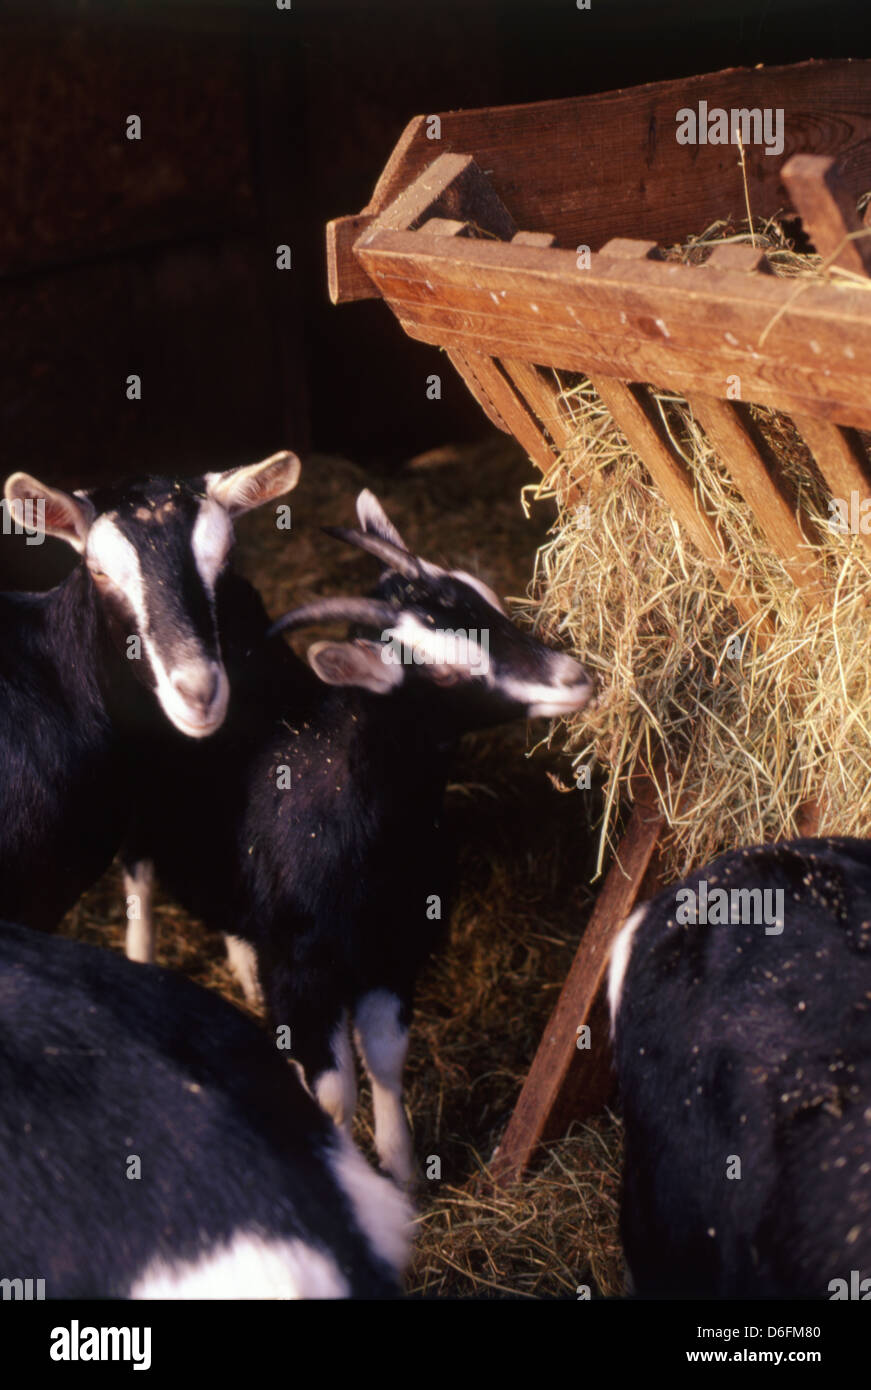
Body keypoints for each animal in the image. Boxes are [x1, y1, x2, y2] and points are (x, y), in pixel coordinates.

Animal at [123, 489, 592, 1184]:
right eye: (444, 675)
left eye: (488, 601)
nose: (573, 678)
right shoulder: (302, 975)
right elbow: (331, 1094)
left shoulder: (394, 949)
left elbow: (387, 1059)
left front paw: (401, 1168)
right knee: (141, 881)